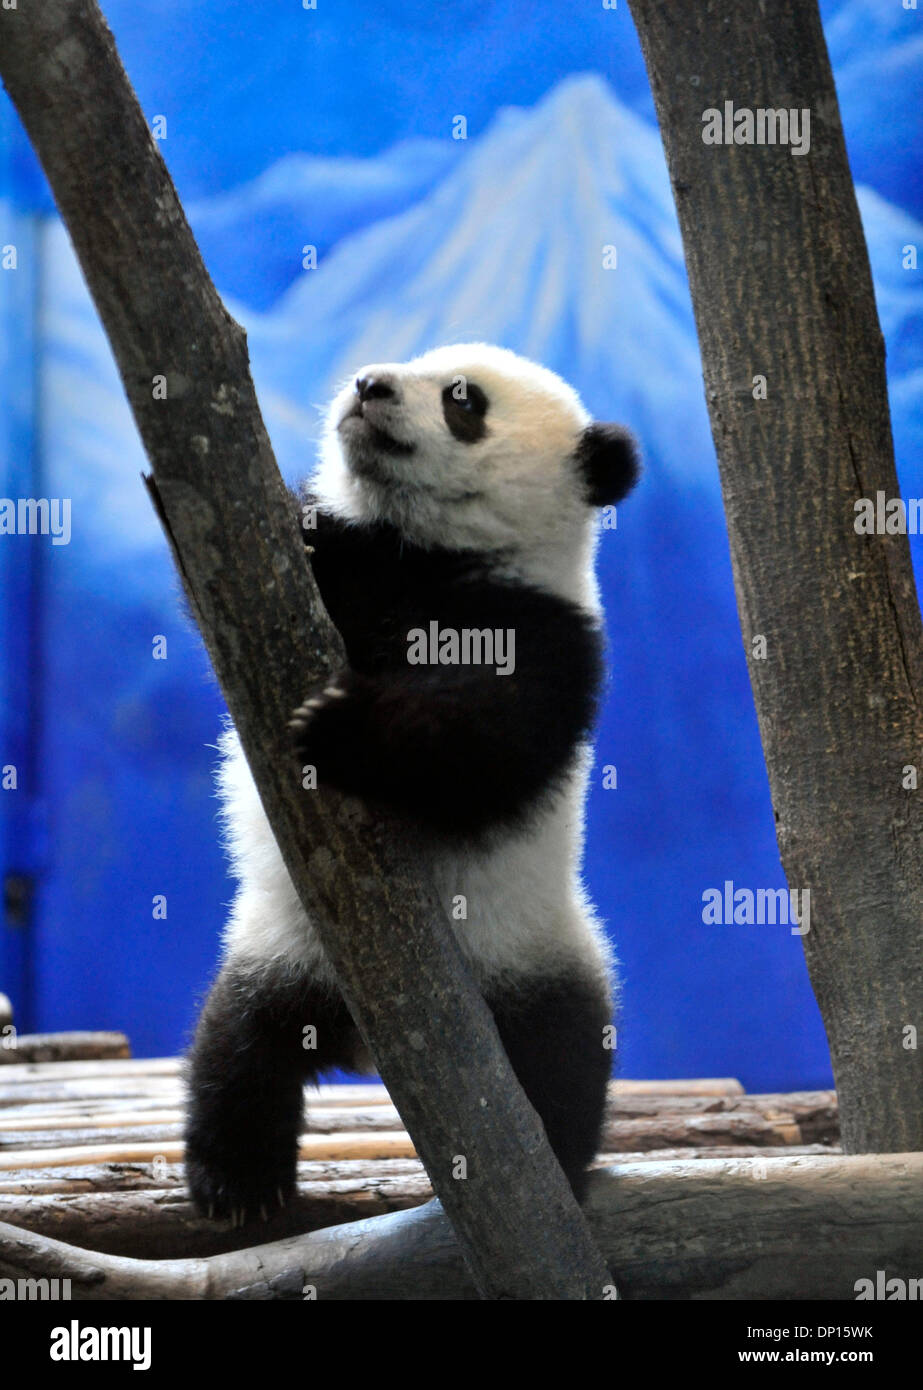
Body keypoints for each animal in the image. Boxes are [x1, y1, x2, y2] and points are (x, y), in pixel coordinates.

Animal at [185, 342, 639, 1222]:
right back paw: (238, 1183)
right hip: (279, 950)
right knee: (240, 1050)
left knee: (565, 1056)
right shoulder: (348, 560)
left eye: (464, 401)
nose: (370, 386)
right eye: (414, 361)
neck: (427, 553)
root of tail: (362, 1040)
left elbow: (487, 752)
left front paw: (343, 727)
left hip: (535, 958)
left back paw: (555, 1165)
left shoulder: (541, 629)